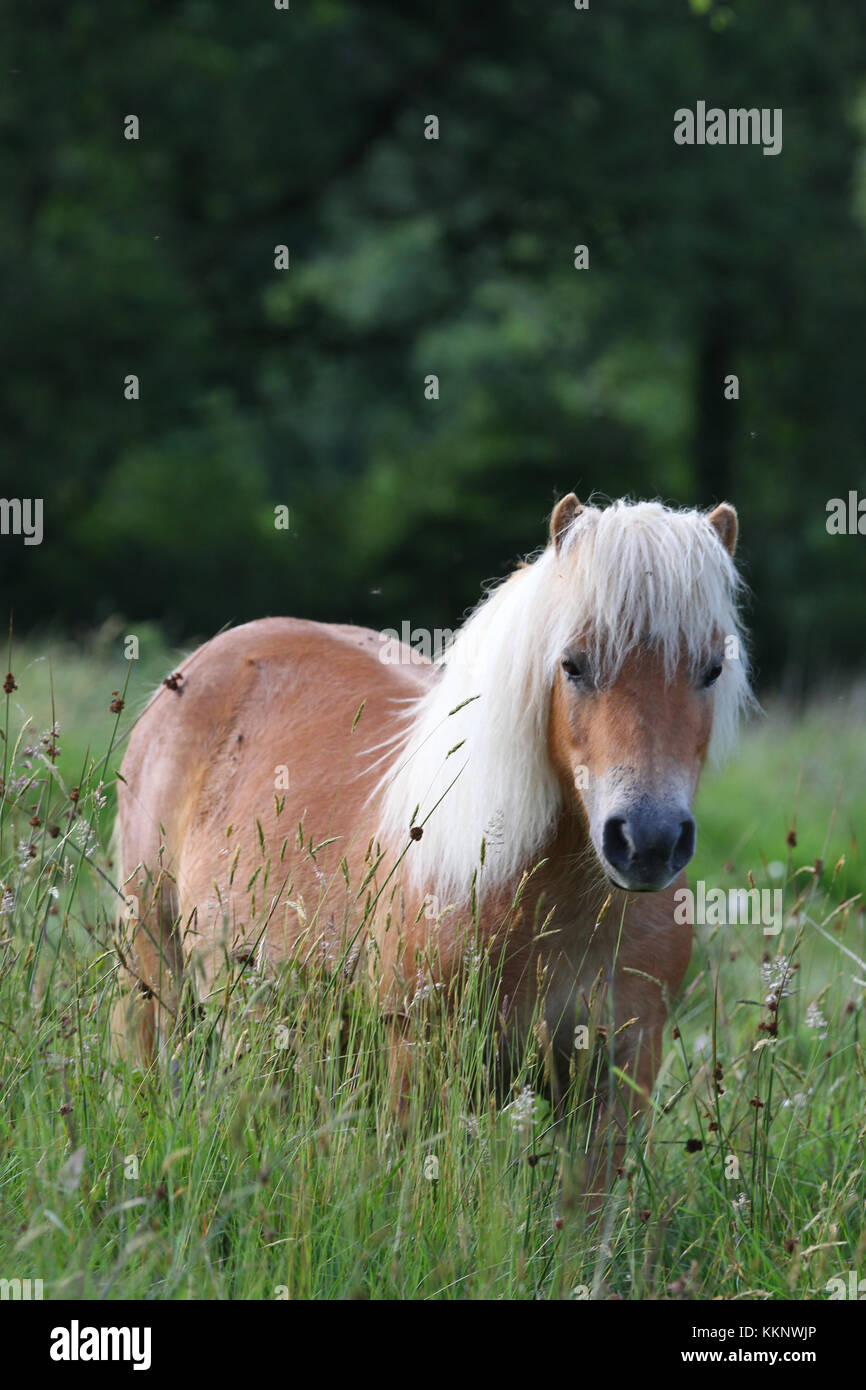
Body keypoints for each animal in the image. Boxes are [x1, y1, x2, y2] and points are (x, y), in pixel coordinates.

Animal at [111, 494, 751, 1181]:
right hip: (159, 977)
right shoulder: (419, 1057)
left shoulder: (616, 1078)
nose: (647, 842)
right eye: (573, 665)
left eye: (712, 669)